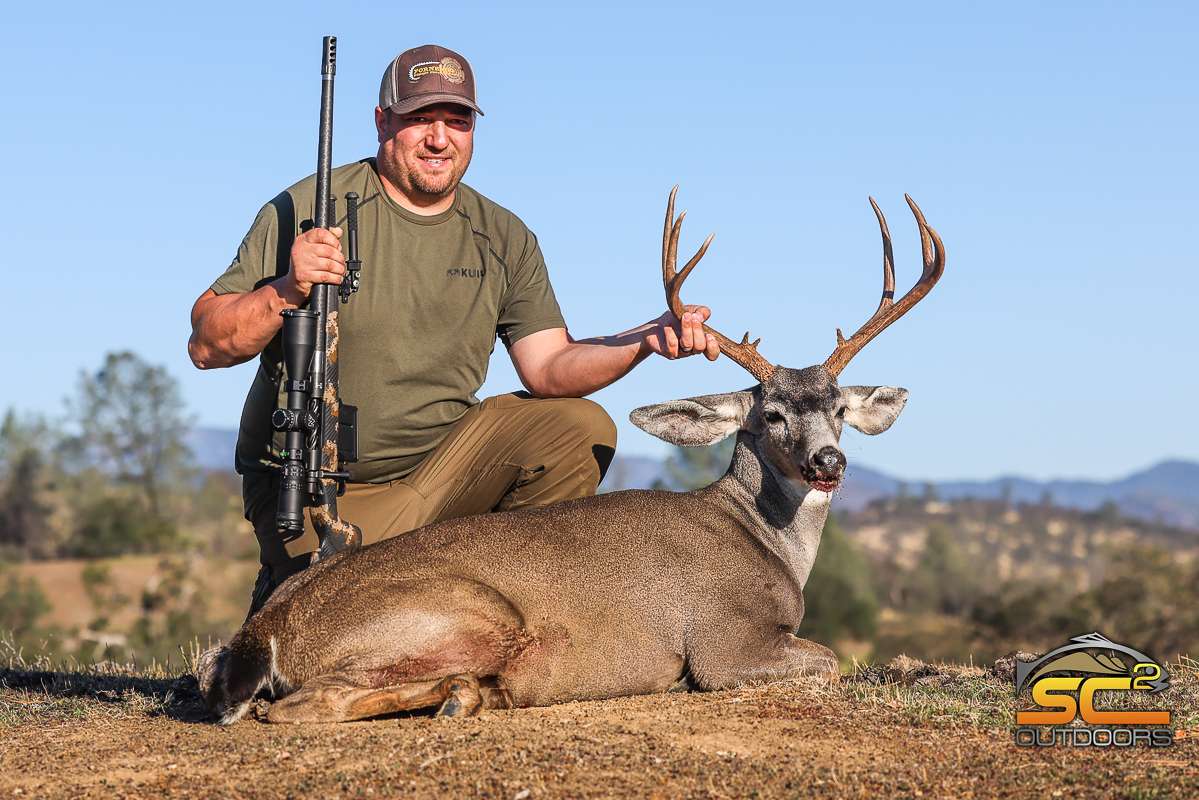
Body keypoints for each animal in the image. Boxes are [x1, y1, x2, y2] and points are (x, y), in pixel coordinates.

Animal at [197, 187, 946, 724]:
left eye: (840, 410)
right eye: (771, 414)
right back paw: (465, 694)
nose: (828, 462)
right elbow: (830, 660)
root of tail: (267, 629)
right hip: (474, 611)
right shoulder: (722, 642)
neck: (762, 540)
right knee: (298, 707)